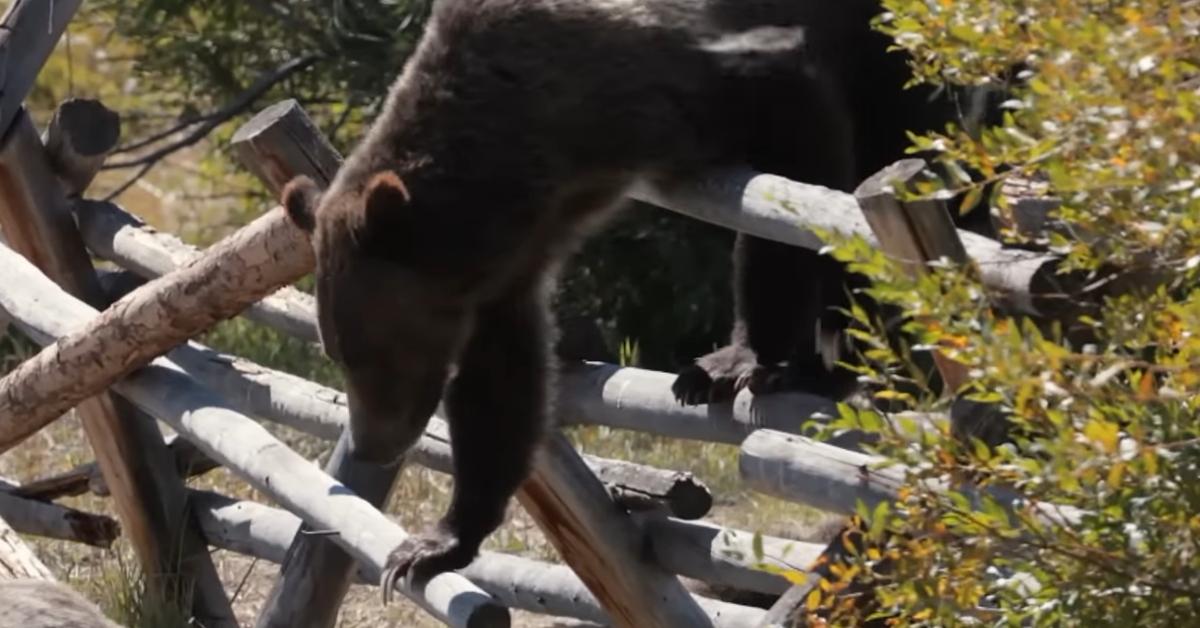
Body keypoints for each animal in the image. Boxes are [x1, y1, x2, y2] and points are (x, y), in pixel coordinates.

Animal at [282, 0, 994, 590]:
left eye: (374, 353)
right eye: (336, 352)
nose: (370, 445)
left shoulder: (692, 75)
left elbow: (796, 181)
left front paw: (744, 357)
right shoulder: (508, 266)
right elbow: (500, 385)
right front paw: (436, 544)